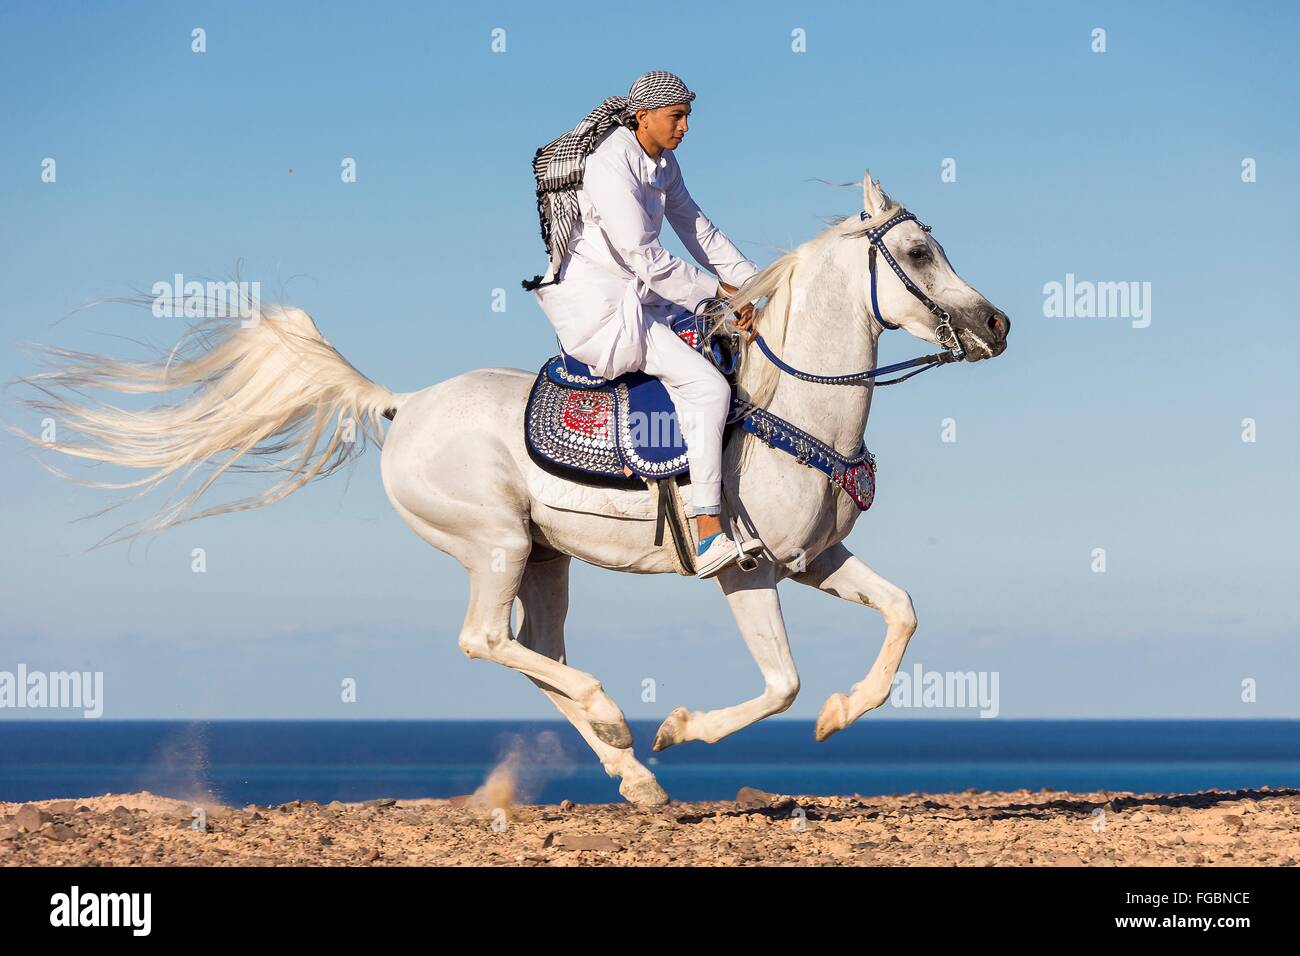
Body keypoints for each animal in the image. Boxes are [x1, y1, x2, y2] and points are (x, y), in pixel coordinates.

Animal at [13, 171, 1009, 805]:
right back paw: (620, 726)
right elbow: (781, 684)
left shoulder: (815, 559)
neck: (788, 406)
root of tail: (405, 404)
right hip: (492, 544)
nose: (997, 324)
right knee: (486, 642)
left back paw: (630, 773)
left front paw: (844, 715)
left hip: (543, 558)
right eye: (920, 252)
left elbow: (901, 613)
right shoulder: (746, 569)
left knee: (538, 655)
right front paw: (681, 728)